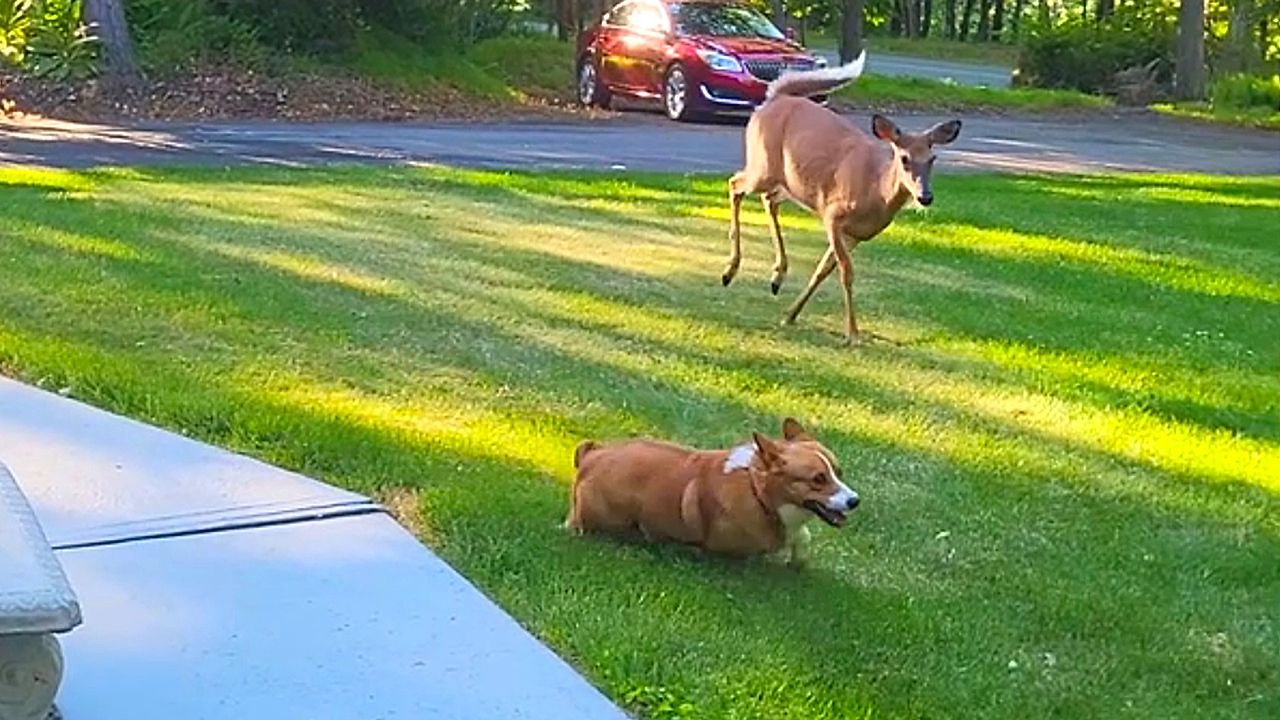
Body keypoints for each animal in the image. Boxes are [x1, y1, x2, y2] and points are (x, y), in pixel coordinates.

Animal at [721, 52, 962, 346]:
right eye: (904, 158)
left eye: (932, 159)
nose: (925, 196)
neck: (876, 191)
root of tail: (775, 98)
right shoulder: (833, 215)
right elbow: (846, 271)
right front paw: (853, 333)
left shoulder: (857, 234)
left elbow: (822, 270)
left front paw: (790, 316)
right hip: (762, 167)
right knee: (735, 184)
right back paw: (730, 271)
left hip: (787, 181)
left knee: (769, 200)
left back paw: (777, 276)